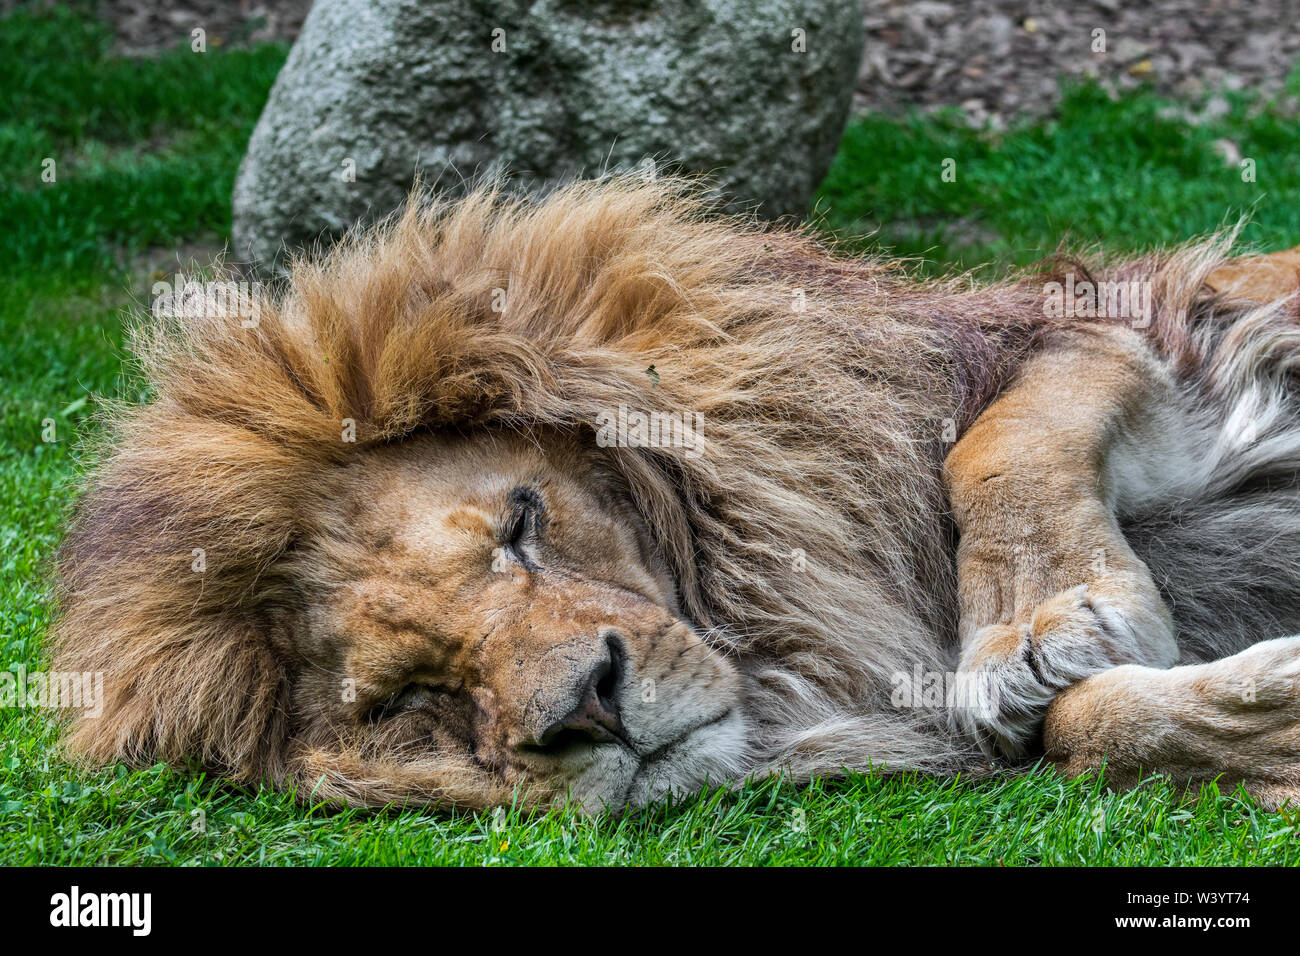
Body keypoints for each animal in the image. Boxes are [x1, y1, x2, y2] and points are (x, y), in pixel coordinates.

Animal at [50, 176, 1300, 812]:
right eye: (402, 699)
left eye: (522, 524)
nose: (587, 707)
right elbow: (1090, 728)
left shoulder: (1169, 327)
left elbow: (997, 441)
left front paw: (1039, 625)